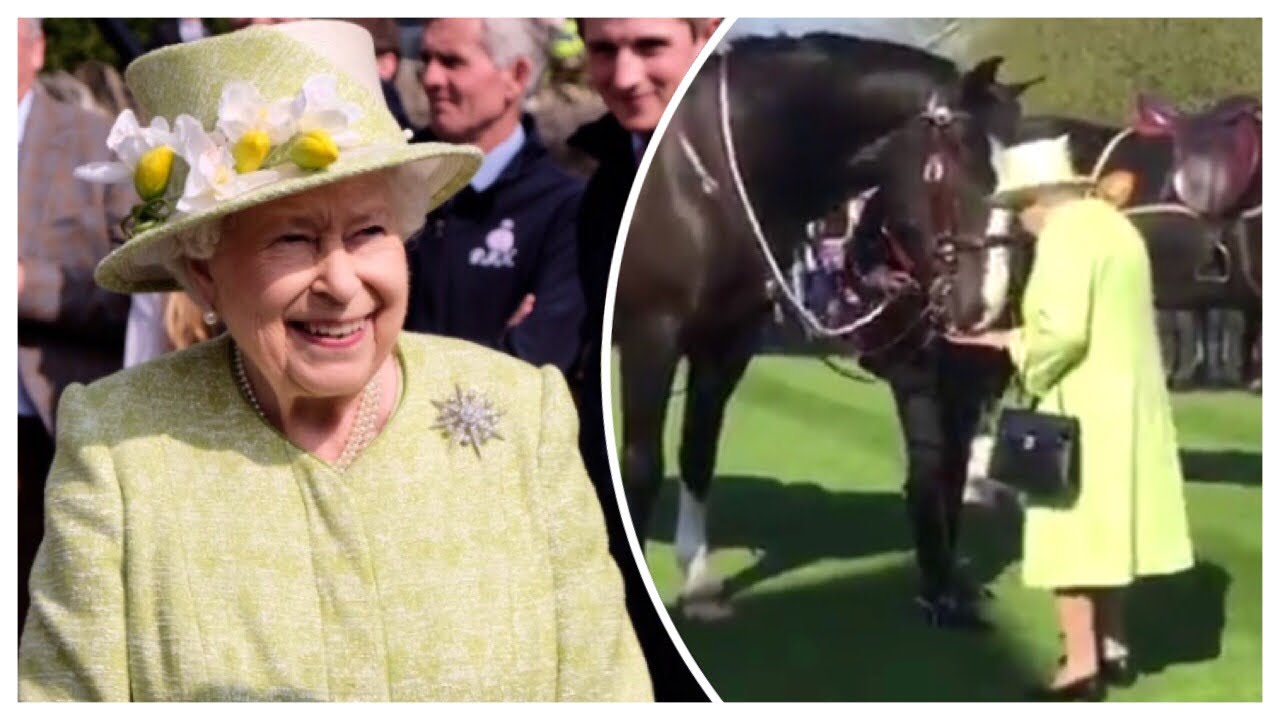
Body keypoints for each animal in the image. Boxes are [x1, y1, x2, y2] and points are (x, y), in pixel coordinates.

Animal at [614, 32, 1034, 615]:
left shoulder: (728, 339)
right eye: (959, 165)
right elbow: (641, 467)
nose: (987, 306)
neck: (708, 176)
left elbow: (698, 450)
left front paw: (698, 580)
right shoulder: (651, 333)